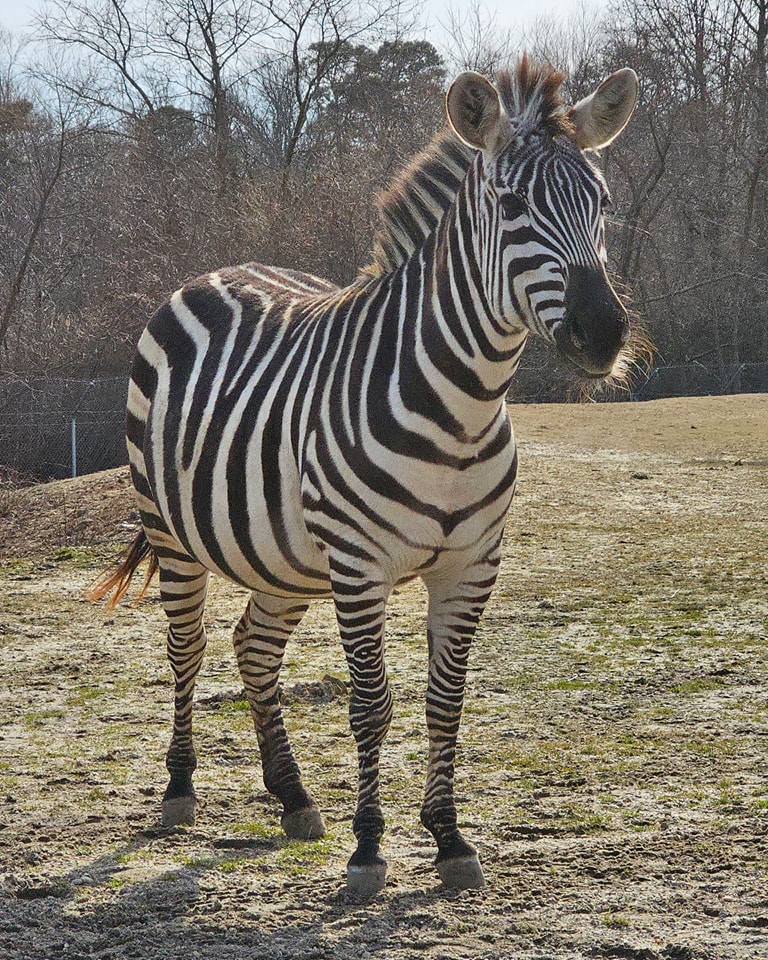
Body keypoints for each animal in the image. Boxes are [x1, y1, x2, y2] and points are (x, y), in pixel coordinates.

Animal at [91, 56, 640, 896]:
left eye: (604, 204)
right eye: (511, 205)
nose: (603, 334)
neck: (462, 407)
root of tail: (216, 271)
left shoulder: (471, 564)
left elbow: (444, 702)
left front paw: (448, 839)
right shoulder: (359, 566)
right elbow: (371, 705)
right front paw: (370, 850)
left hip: (281, 556)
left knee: (253, 645)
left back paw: (292, 798)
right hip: (174, 533)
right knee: (187, 647)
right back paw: (180, 789)